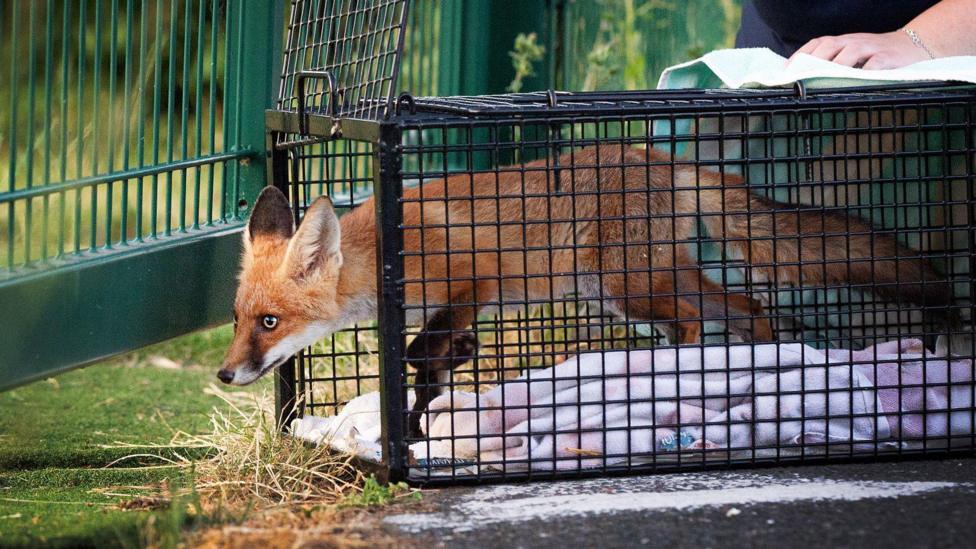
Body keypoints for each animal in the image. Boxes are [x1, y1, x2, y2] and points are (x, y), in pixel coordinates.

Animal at [218, 145, 954, 436]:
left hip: (631, 287)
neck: (384, 255)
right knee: (750, 308)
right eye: (237, 318)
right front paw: (433, 402)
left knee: (692, 324)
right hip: (641, 281)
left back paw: (674, 378)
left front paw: (428, 401)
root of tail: (661, 157)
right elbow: (434, 359)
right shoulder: (455, 303)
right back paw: (756, 371)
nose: (224, 374)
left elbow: (419, 351)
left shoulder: (476, 277)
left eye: (269, 322)